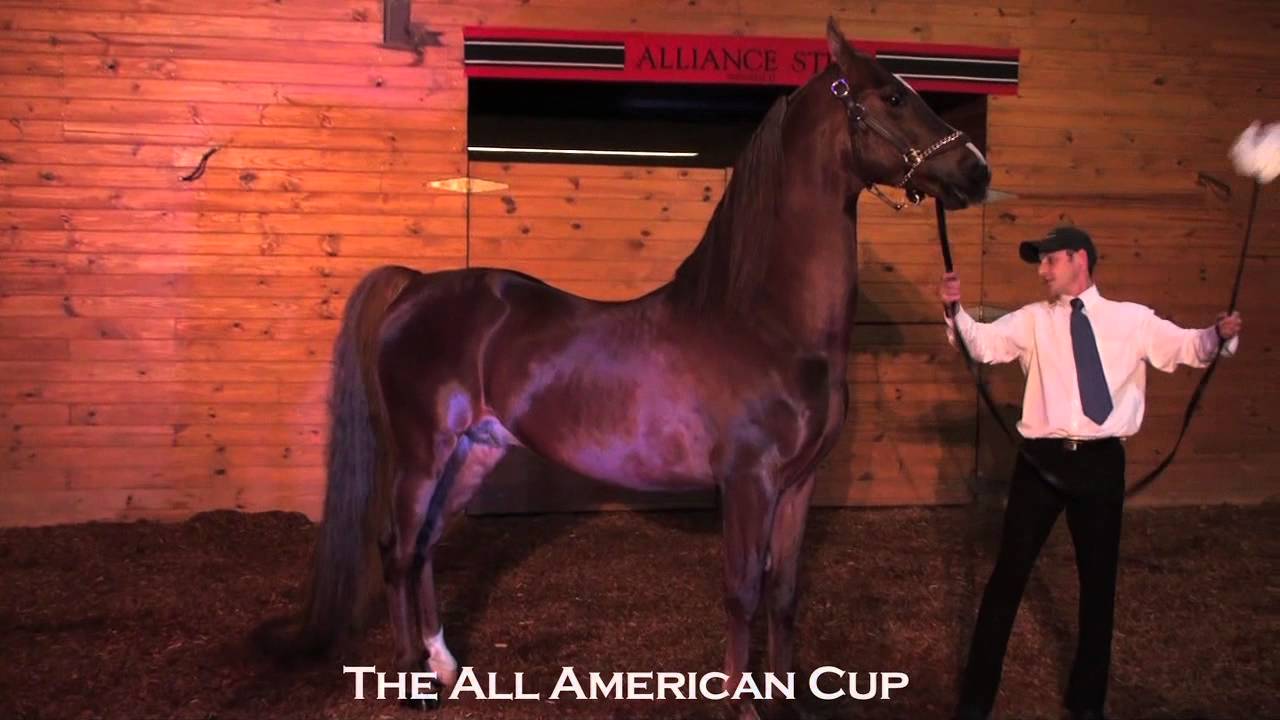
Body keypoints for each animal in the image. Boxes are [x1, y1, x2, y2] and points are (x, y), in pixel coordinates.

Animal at [257, 18, 990, 720]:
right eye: (893, 96)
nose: (976, 170)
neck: (766, 321)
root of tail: (414, 286)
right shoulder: (747, 483)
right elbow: (742, 592)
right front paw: (740, 705)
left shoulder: (798, 484)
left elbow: (783, 593)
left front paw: (787, 698)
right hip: (421, 453)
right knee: (398, 550)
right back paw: (413, 681)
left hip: (475, 451)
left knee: (428, 545)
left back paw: (444, 665)